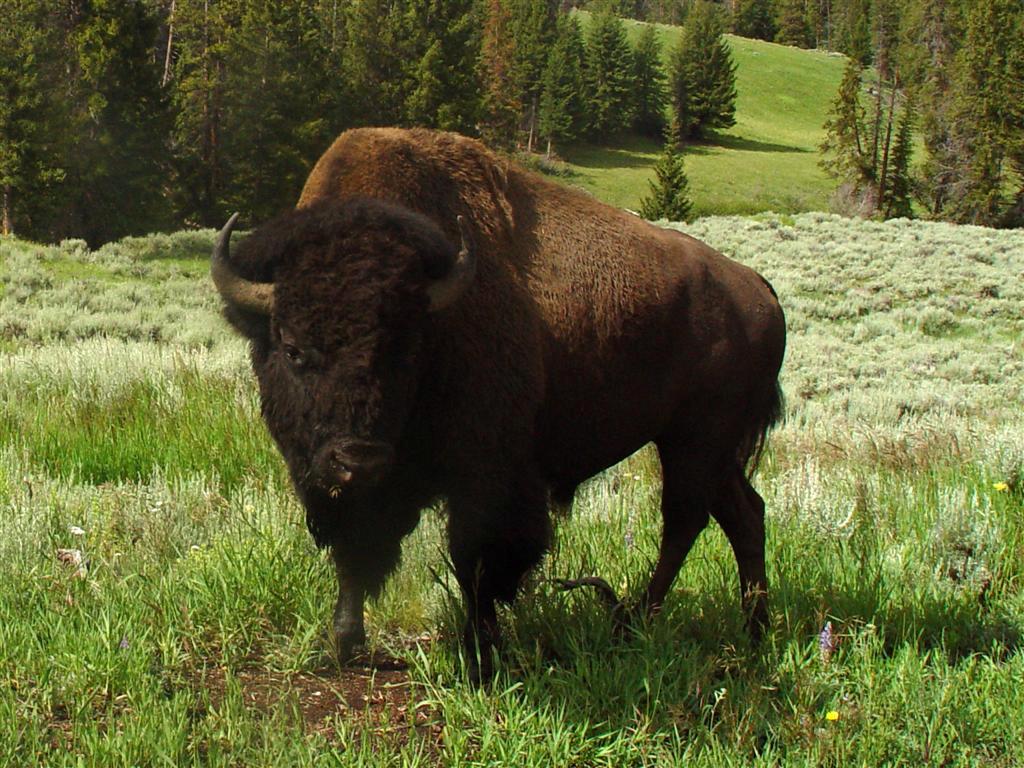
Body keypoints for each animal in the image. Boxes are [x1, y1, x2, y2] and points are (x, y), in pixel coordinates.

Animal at [211, 128, 785, 679]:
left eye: (407, 348)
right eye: (292, 348)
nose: (359, 458)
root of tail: (758, 288)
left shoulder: (489, 472)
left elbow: (477, 560)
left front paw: (482, 655)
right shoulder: (352, 484)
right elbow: (358, 548)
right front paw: (343, 645)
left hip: (694, 441)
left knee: (684, 520)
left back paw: (639, 622)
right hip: (706, 448)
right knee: (743, 514)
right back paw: (753, 629)